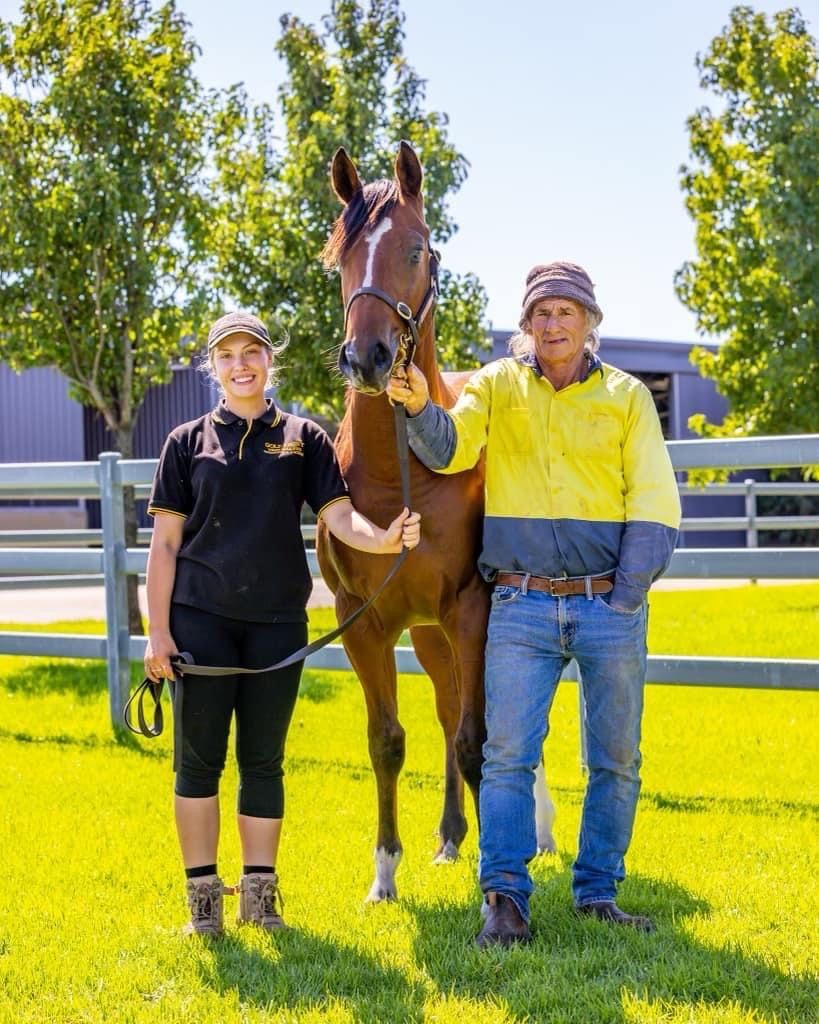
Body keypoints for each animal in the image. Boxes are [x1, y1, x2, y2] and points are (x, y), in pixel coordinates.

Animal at [316, 141, 555, 902]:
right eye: (340, 255)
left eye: (417, 250)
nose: (367, 358)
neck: (402, 475)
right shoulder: (361, 619)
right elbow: (389, 740)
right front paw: (384, 874)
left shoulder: (472, 610)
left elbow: (483, 743)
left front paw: (498, 878)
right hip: (426, 635)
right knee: (449, 715)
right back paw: (451, 837)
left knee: (509, 726)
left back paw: (540, 834)